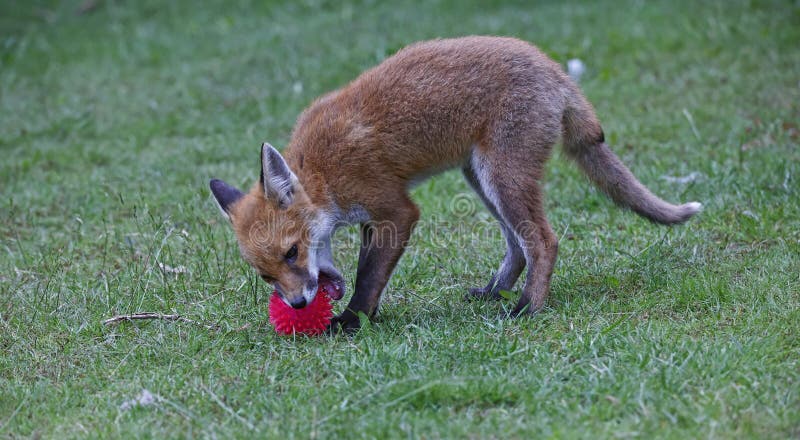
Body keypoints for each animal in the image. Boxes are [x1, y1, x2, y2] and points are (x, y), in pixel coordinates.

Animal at [210, 36, 702, 331]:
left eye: (292, 253)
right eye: (266, 273)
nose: (296, 305)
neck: (320, 172)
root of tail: (554, 68)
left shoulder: (393, 210)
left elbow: (369, 277)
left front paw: (352, 322)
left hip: (502, 176)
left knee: (543, 241)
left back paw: (527, 307)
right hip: (482, 178)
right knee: (517, 245)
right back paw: (495, 292)